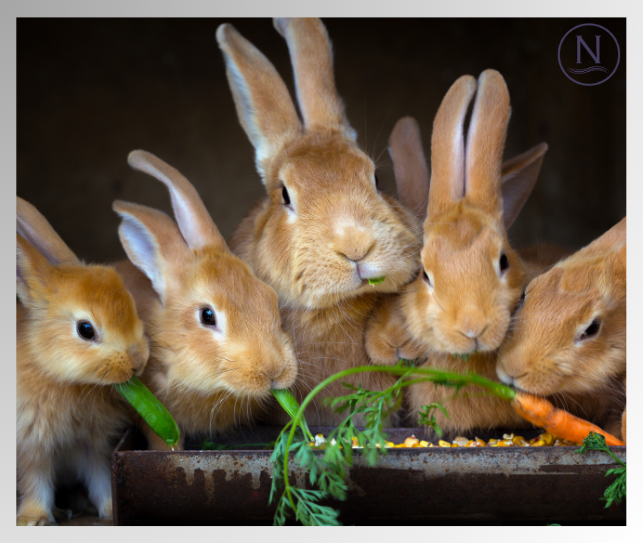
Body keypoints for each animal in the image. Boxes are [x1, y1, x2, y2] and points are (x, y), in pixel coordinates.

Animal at [16, 197, 149, 526]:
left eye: (131, 303)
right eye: (85, 329)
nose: (138, 362)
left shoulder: (93, 444)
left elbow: (99, 477)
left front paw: (110, 510)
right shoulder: (32, 446)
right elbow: (35, 481)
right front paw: (33, 519)